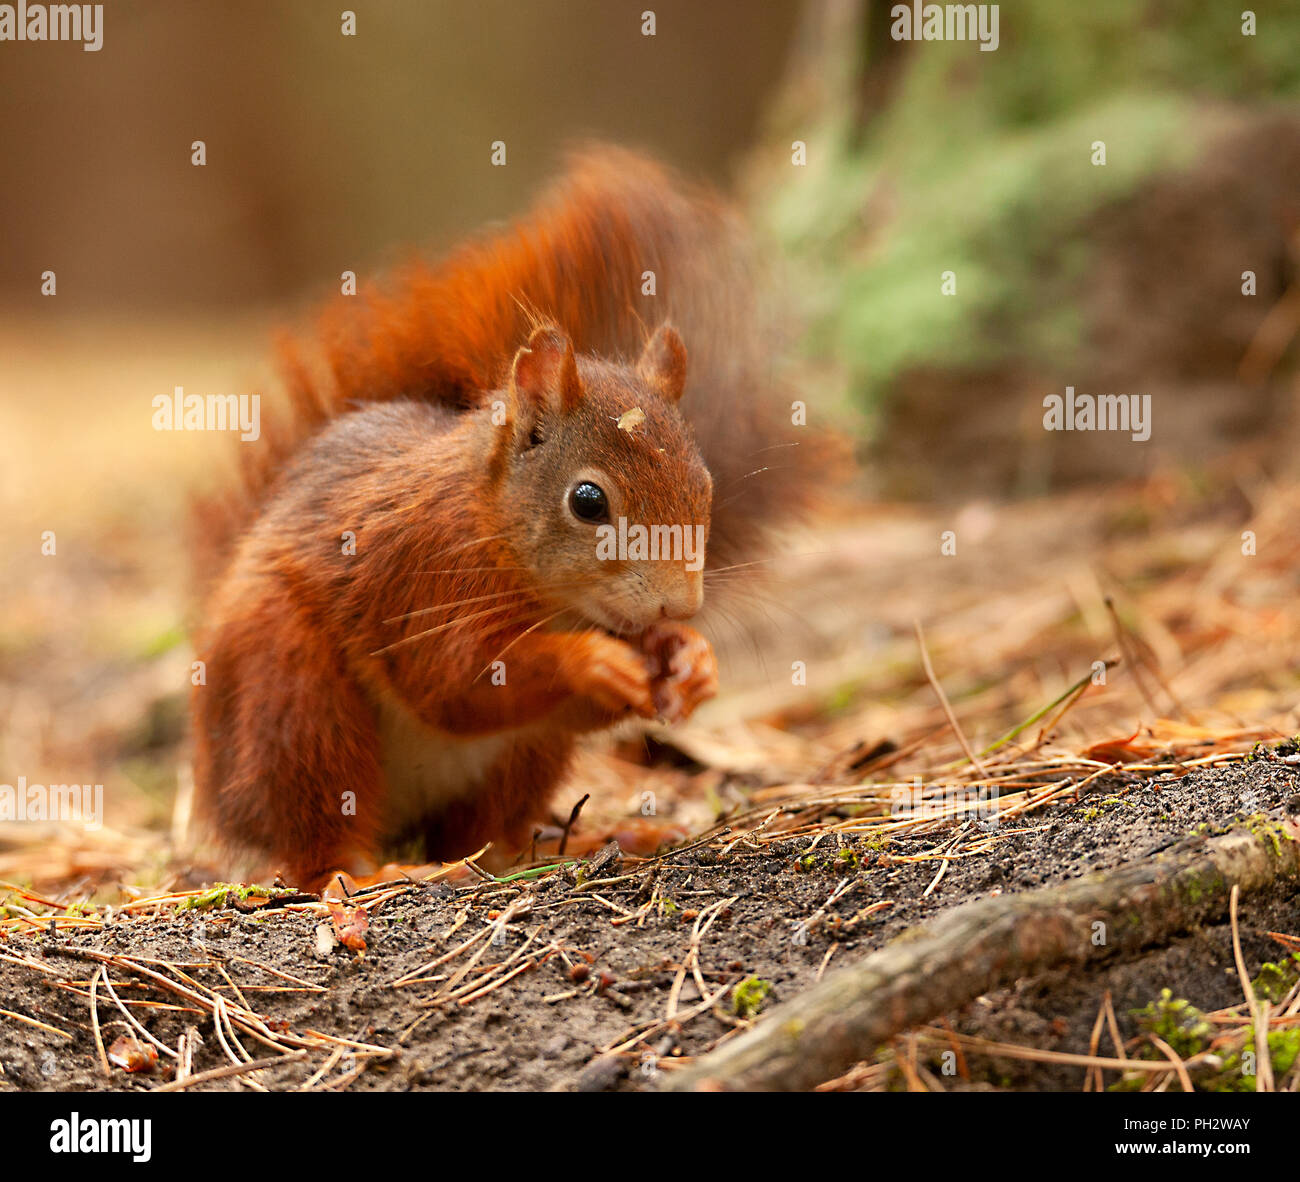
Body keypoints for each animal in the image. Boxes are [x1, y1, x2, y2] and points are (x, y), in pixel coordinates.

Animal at [189, 147, 830, 890]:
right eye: (588, 502)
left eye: (704, 486)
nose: (679, 606)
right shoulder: (421, 573)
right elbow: (454, 679)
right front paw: (589, 661)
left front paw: (692, 662)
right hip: (292, 694)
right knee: (314, 832)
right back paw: (363, 875)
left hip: (525, 757)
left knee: (483, 836)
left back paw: (582, 840)